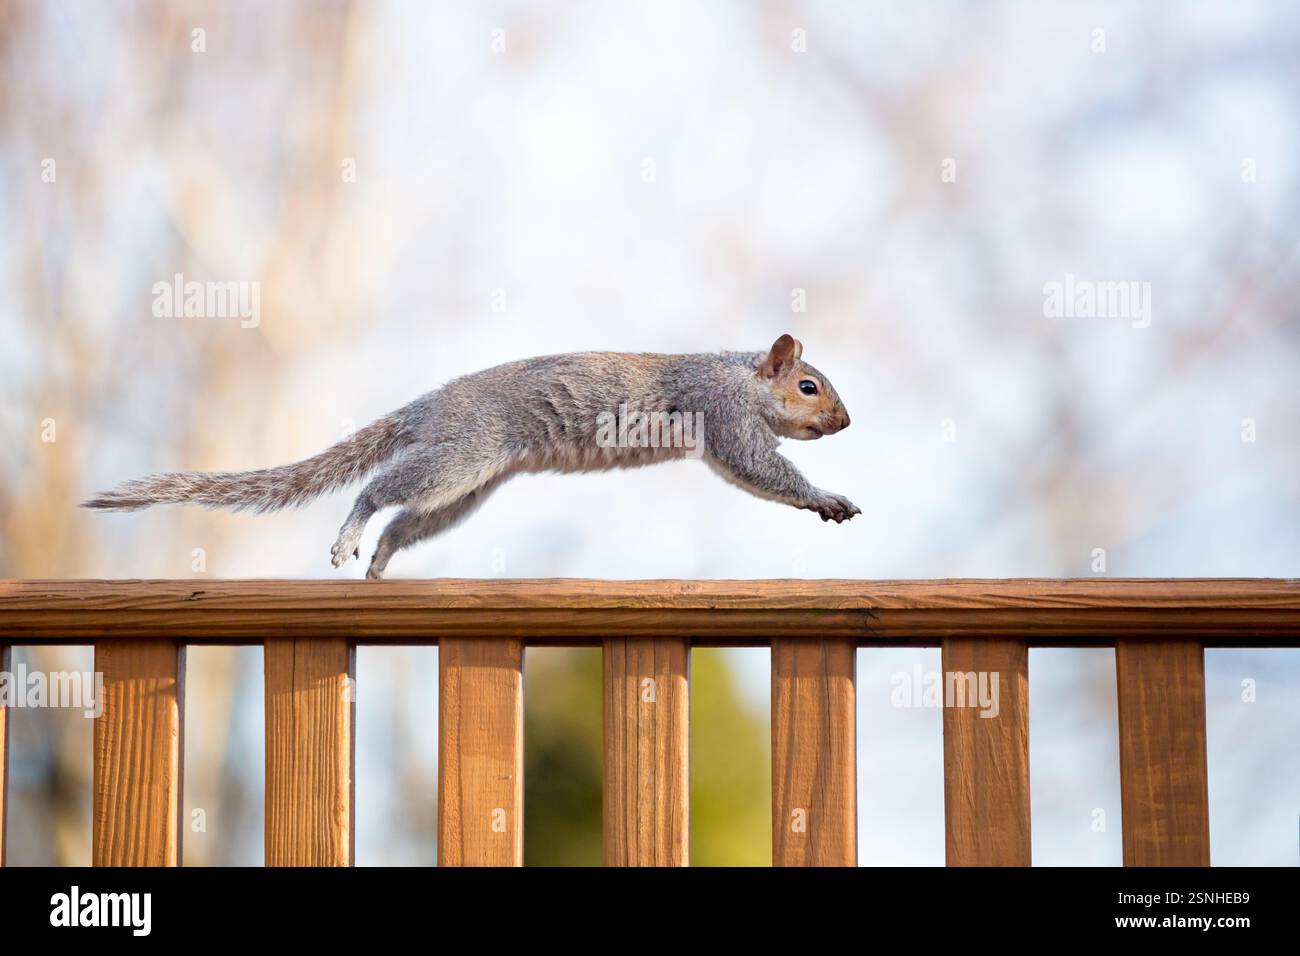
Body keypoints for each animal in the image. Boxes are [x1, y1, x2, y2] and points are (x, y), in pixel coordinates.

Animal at [83, 333, 859, 578]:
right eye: (809, 386)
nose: (845, 421)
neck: (738, 375)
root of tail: (426, 408)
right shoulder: (722, 417)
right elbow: (762, 469)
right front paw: (826, 498)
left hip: (464, 490)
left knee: (405, 521)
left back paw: (380, 561)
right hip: (457, 457)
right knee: (376, 493)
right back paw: (349, 537)